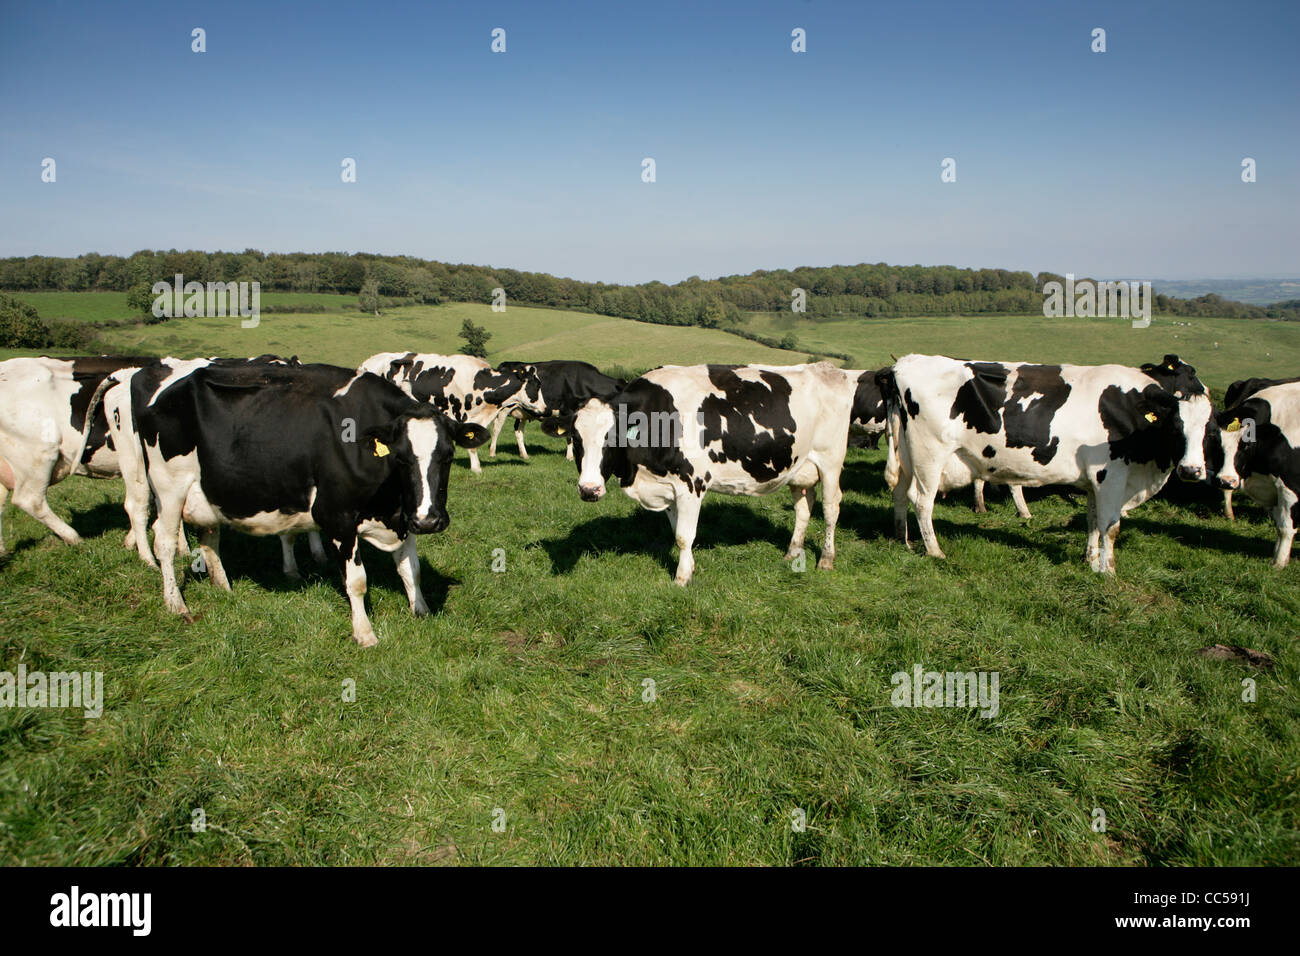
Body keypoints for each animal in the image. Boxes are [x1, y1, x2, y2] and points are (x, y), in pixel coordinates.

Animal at [128, 361, 487, 645]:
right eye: (400, 458)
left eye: (448, 456)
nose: (429, 520)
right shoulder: (339, 517)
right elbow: (356, 581)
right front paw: (365, 633)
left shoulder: (404, 515)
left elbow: (410, 570)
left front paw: (421, 611)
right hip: (168, 486)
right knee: (163, 541)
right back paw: (176, 604)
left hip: (210, 491)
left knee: (210, 537)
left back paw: (223, 587)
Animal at [494, 360, 627, 461]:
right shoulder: (568, 411)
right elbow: (569, 436)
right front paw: (570, 457)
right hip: (503, 409)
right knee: (496, 428)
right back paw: (493, 453)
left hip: (522, 412)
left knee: (518, 431)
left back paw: (524, 455)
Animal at [541, 362, 865, 585]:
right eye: (576, 439)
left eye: (613, 437)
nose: (589, 489)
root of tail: (827, 368)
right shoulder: (667, 486)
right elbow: (676, 531)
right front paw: (690, 567)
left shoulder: (691, 484)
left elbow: (685, 535)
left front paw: (682, 578)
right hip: (798, 465)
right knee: (803, 508)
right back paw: (793, 552)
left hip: (830, 460)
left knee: (831, 508)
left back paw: (826, 559)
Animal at [878, 353, 1214, 573]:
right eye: (1175, 427)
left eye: (1209, 432)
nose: (1192, 470)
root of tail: (906, 361)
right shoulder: (1111, 477)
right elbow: (1110, 527)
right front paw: (1109, 572)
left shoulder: (1094, 481)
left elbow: (1092, 522)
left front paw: (1091, 562)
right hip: (929, 455)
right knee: (922, 501)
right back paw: (935, 551)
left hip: (906, 454)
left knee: (900, 495)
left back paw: (901, 539)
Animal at [1212, 381, 1300, 568]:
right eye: (1215, 442)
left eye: (1246, 445)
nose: (1226, 481)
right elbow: (1278, 525)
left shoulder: (1290, 486)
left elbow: (1285, 527)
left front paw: (1279, 563)